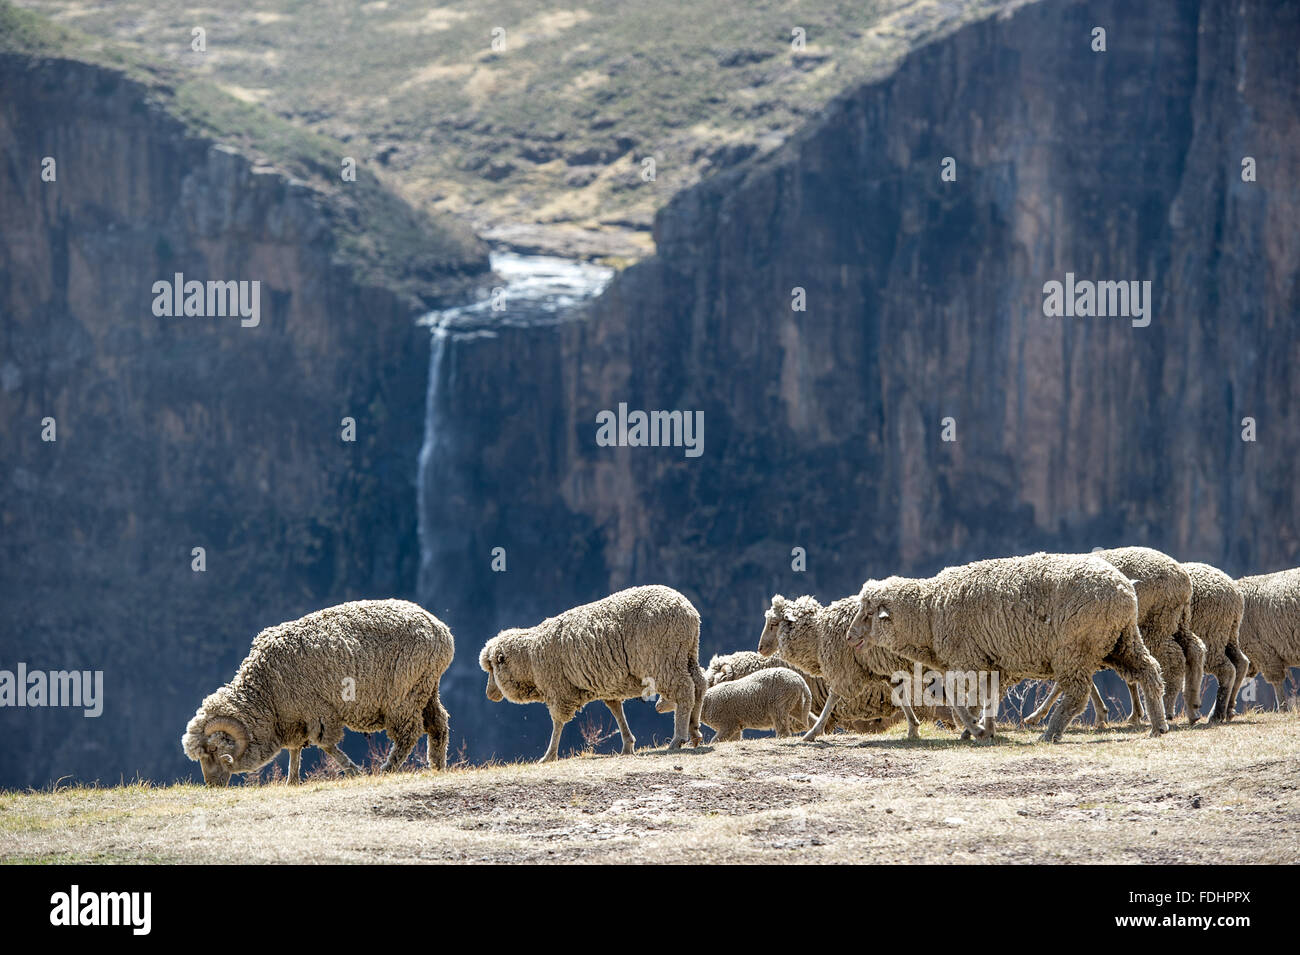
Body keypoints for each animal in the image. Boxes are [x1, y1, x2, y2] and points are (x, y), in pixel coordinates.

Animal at [182, 599, 454, 786]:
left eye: (213, 750)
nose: (212, 785)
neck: (266, 693)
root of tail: (441, 629)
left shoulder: (318, 709)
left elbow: (325, 744)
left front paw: (353, 770)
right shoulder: (293, 717)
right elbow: (295, 749)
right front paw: (292, 780)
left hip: (404, 694)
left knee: (409, 733)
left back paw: (388, 768)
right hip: (426, 686)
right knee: (439, 723)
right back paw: (437, 766)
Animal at [479, 584, 706, 762]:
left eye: (491, 668)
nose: (489, 694)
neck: (530, 656)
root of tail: (689, 611)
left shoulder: (559, 690)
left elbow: (558, 723)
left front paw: (549, 755)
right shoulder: (609, 686)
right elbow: (617, 712)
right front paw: (627, 744)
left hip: (664, 660)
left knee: (685, 690)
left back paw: (678, 738)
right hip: (687, 654)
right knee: (700, 685)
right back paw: (694, 730)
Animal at [657, 667, 813, 741]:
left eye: (667, 695)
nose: (656, 707)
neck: (706, 703)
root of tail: (800, 680)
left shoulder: (728, 724)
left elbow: (715, 741)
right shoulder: (737, 726)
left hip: (779, 704)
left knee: (783, 729)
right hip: (795, 704)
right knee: (809, 718)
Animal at [756, 594, 926, 741]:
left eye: (773, 623)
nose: (760, 648)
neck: (817, 635)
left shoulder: (843, 668)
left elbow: (832, 698)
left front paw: (814, 731)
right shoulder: (885, 668)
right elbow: (901, 693)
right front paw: (913, 728)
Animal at [846, 552, 1170, 742]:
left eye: (868, 613)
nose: (849, 636)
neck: (930, 612)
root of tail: (1124, 588)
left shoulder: (969, 660)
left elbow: (958, 700)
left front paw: (975, 729)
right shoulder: (993, 665)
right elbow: (987, 699)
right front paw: (981, 730)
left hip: (1076, 647)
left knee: (1078, 694)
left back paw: (1050, 732)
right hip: (1121, 639)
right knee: (1150, 671)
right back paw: (1158, 725)